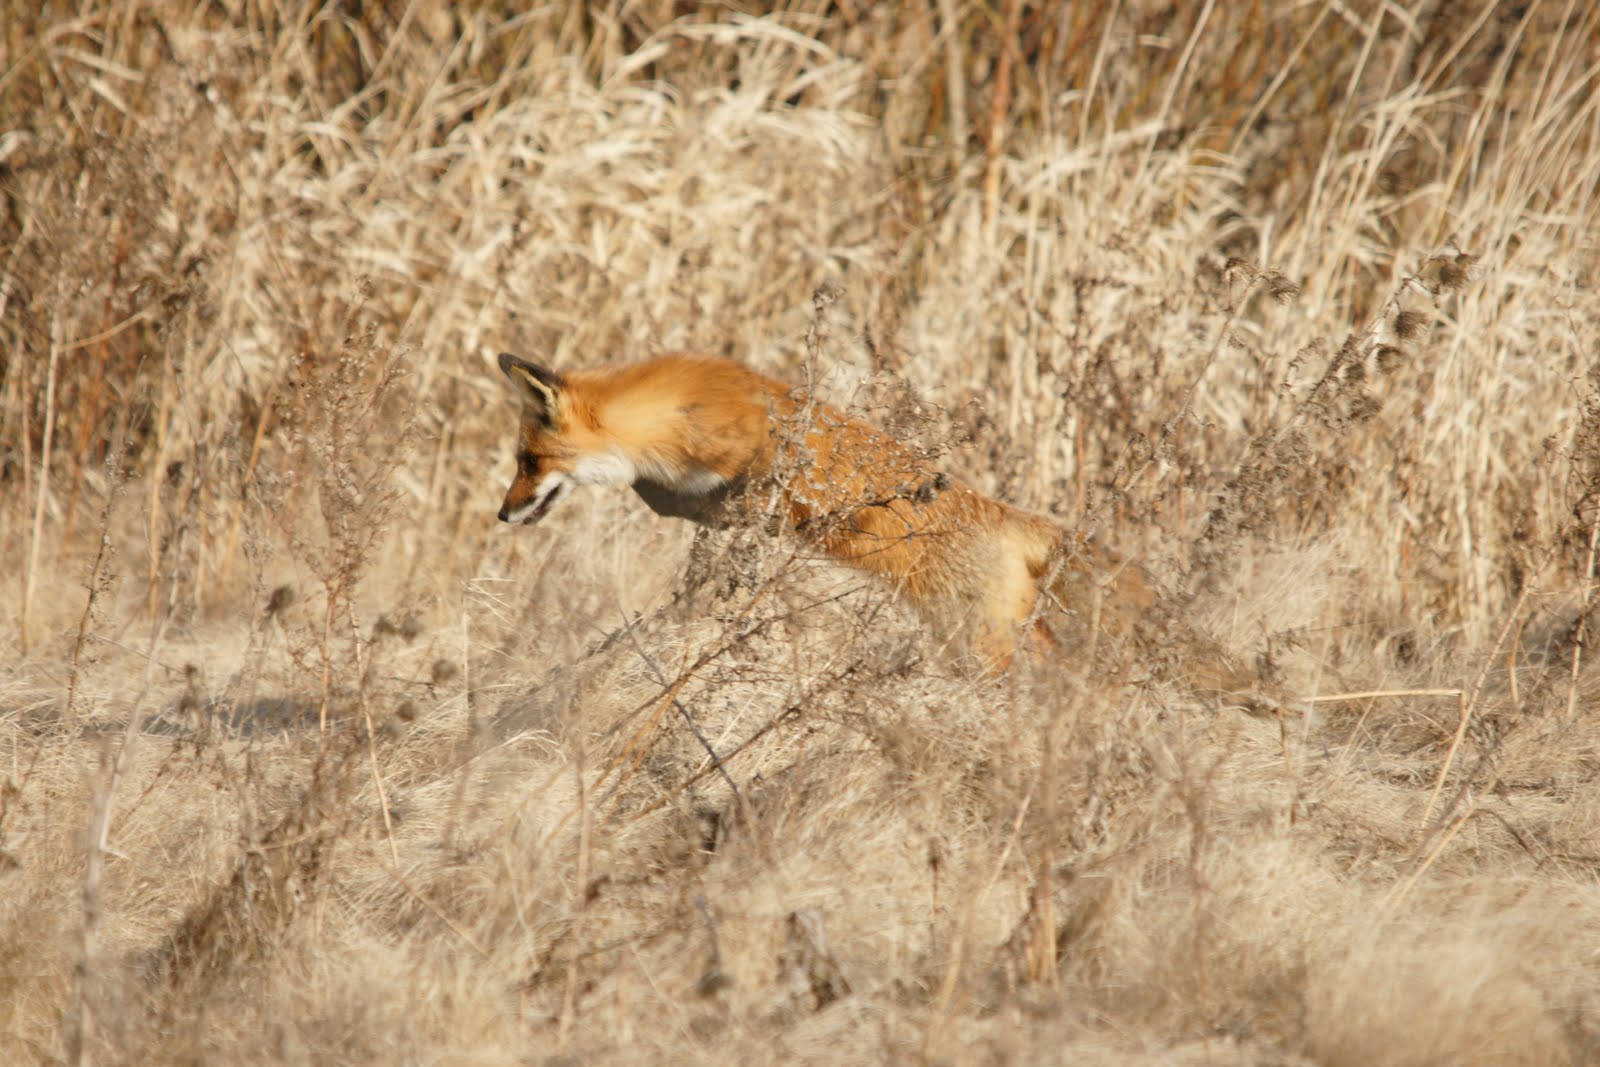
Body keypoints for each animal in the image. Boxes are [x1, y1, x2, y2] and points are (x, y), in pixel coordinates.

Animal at [496, 350, 1261, 696]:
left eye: (528, 461)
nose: (502, 511)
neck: (674, 415)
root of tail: (1011, 515)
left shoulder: (756, 469)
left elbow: (726, 495)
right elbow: (672, 499)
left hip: (978, 642)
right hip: (1003, 633)